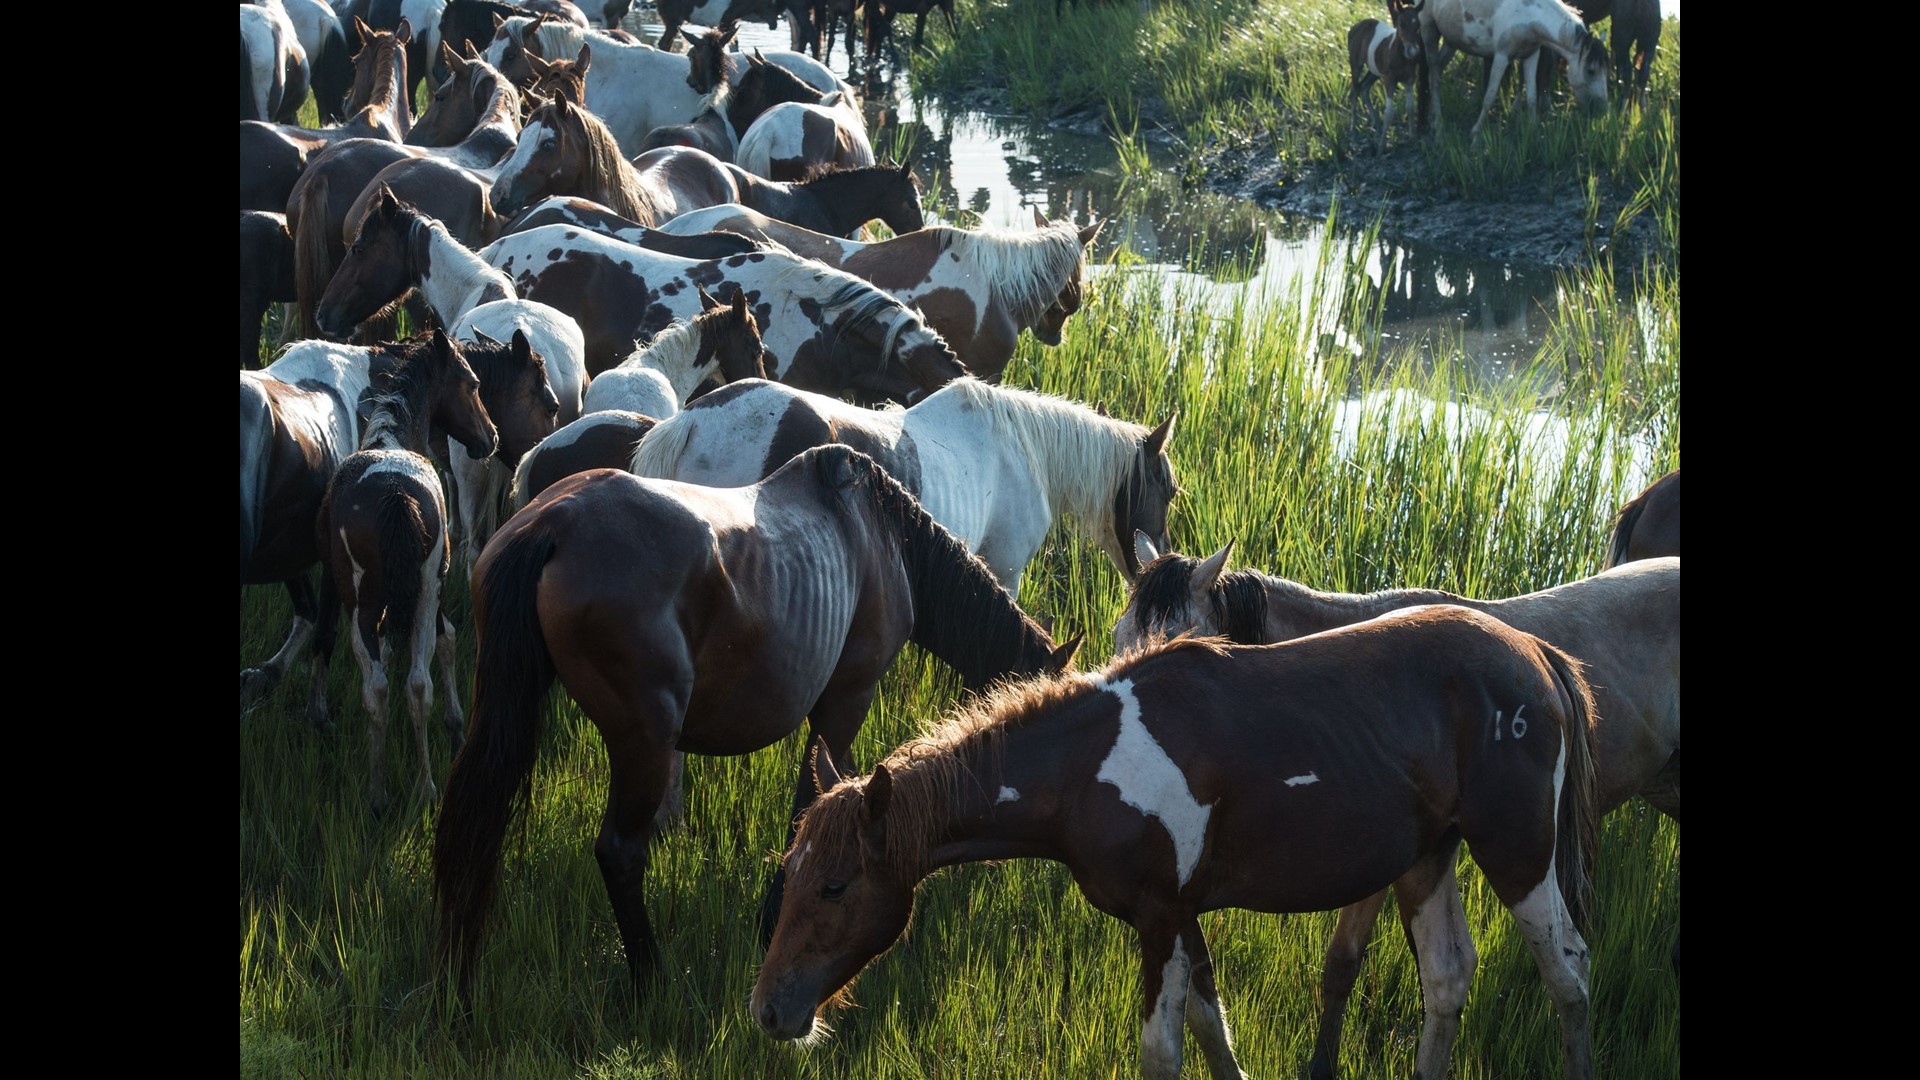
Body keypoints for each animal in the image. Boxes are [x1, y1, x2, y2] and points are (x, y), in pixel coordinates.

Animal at [318, 328, 499, 812]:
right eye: (472, 383)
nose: (491, 437)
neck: (391, 440)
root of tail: (395, 493)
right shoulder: (435, 595)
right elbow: (448, 642)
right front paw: (456, 728)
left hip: (361, 609)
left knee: (378, 690)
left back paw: (378, 793)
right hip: (420, 598)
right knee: (418, 686)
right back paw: (426, 788)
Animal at [433, 445, 1082, 999]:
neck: (882, 535)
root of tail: (552, 524)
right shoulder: (846, 699)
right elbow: (812, 801)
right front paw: (775, 920)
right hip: (644, 740)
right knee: (620, 851)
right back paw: (650, 978)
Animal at [754, 607, 1599, 1080]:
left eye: (835, 885)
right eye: (789, 871)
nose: (769, 1011)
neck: (1090, 765)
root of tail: (1536, 655)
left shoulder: (1158, 916)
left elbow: (1163, 1053)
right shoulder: (1183, 912)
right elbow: (1210, 1030)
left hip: (1517, 854)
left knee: (1568, 975)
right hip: (1429, 856)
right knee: (1449, 979)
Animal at [1349, 0, 1425, 154]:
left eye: (1418, 25)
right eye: (1401, 24)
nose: (1412, 52)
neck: (1400, 56)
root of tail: (1355, 27)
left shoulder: (1410, 80)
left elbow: (1410, 108)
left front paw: (1413, 139)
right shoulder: (1389, 80)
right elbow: (1389, 112)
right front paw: (1381, 148)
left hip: (1374, 71)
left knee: (1364, 88)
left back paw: (1378, 128)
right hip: (1356, 65)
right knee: (1354, 91)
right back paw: (1353, 135)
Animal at [1415, 0, 1609, 136]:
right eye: (1591, 71)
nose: (1601, 110)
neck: (1529, 14)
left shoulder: (1531, 55)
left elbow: (1531, 97)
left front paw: (1532, 130)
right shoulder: (1502, 56)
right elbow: (1489, 96)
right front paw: (1476, 132)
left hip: (1451, 41)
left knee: (1438, 71)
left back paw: (1432, 119)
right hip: (1429, 30)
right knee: (1434, 75)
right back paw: (1438, 124)